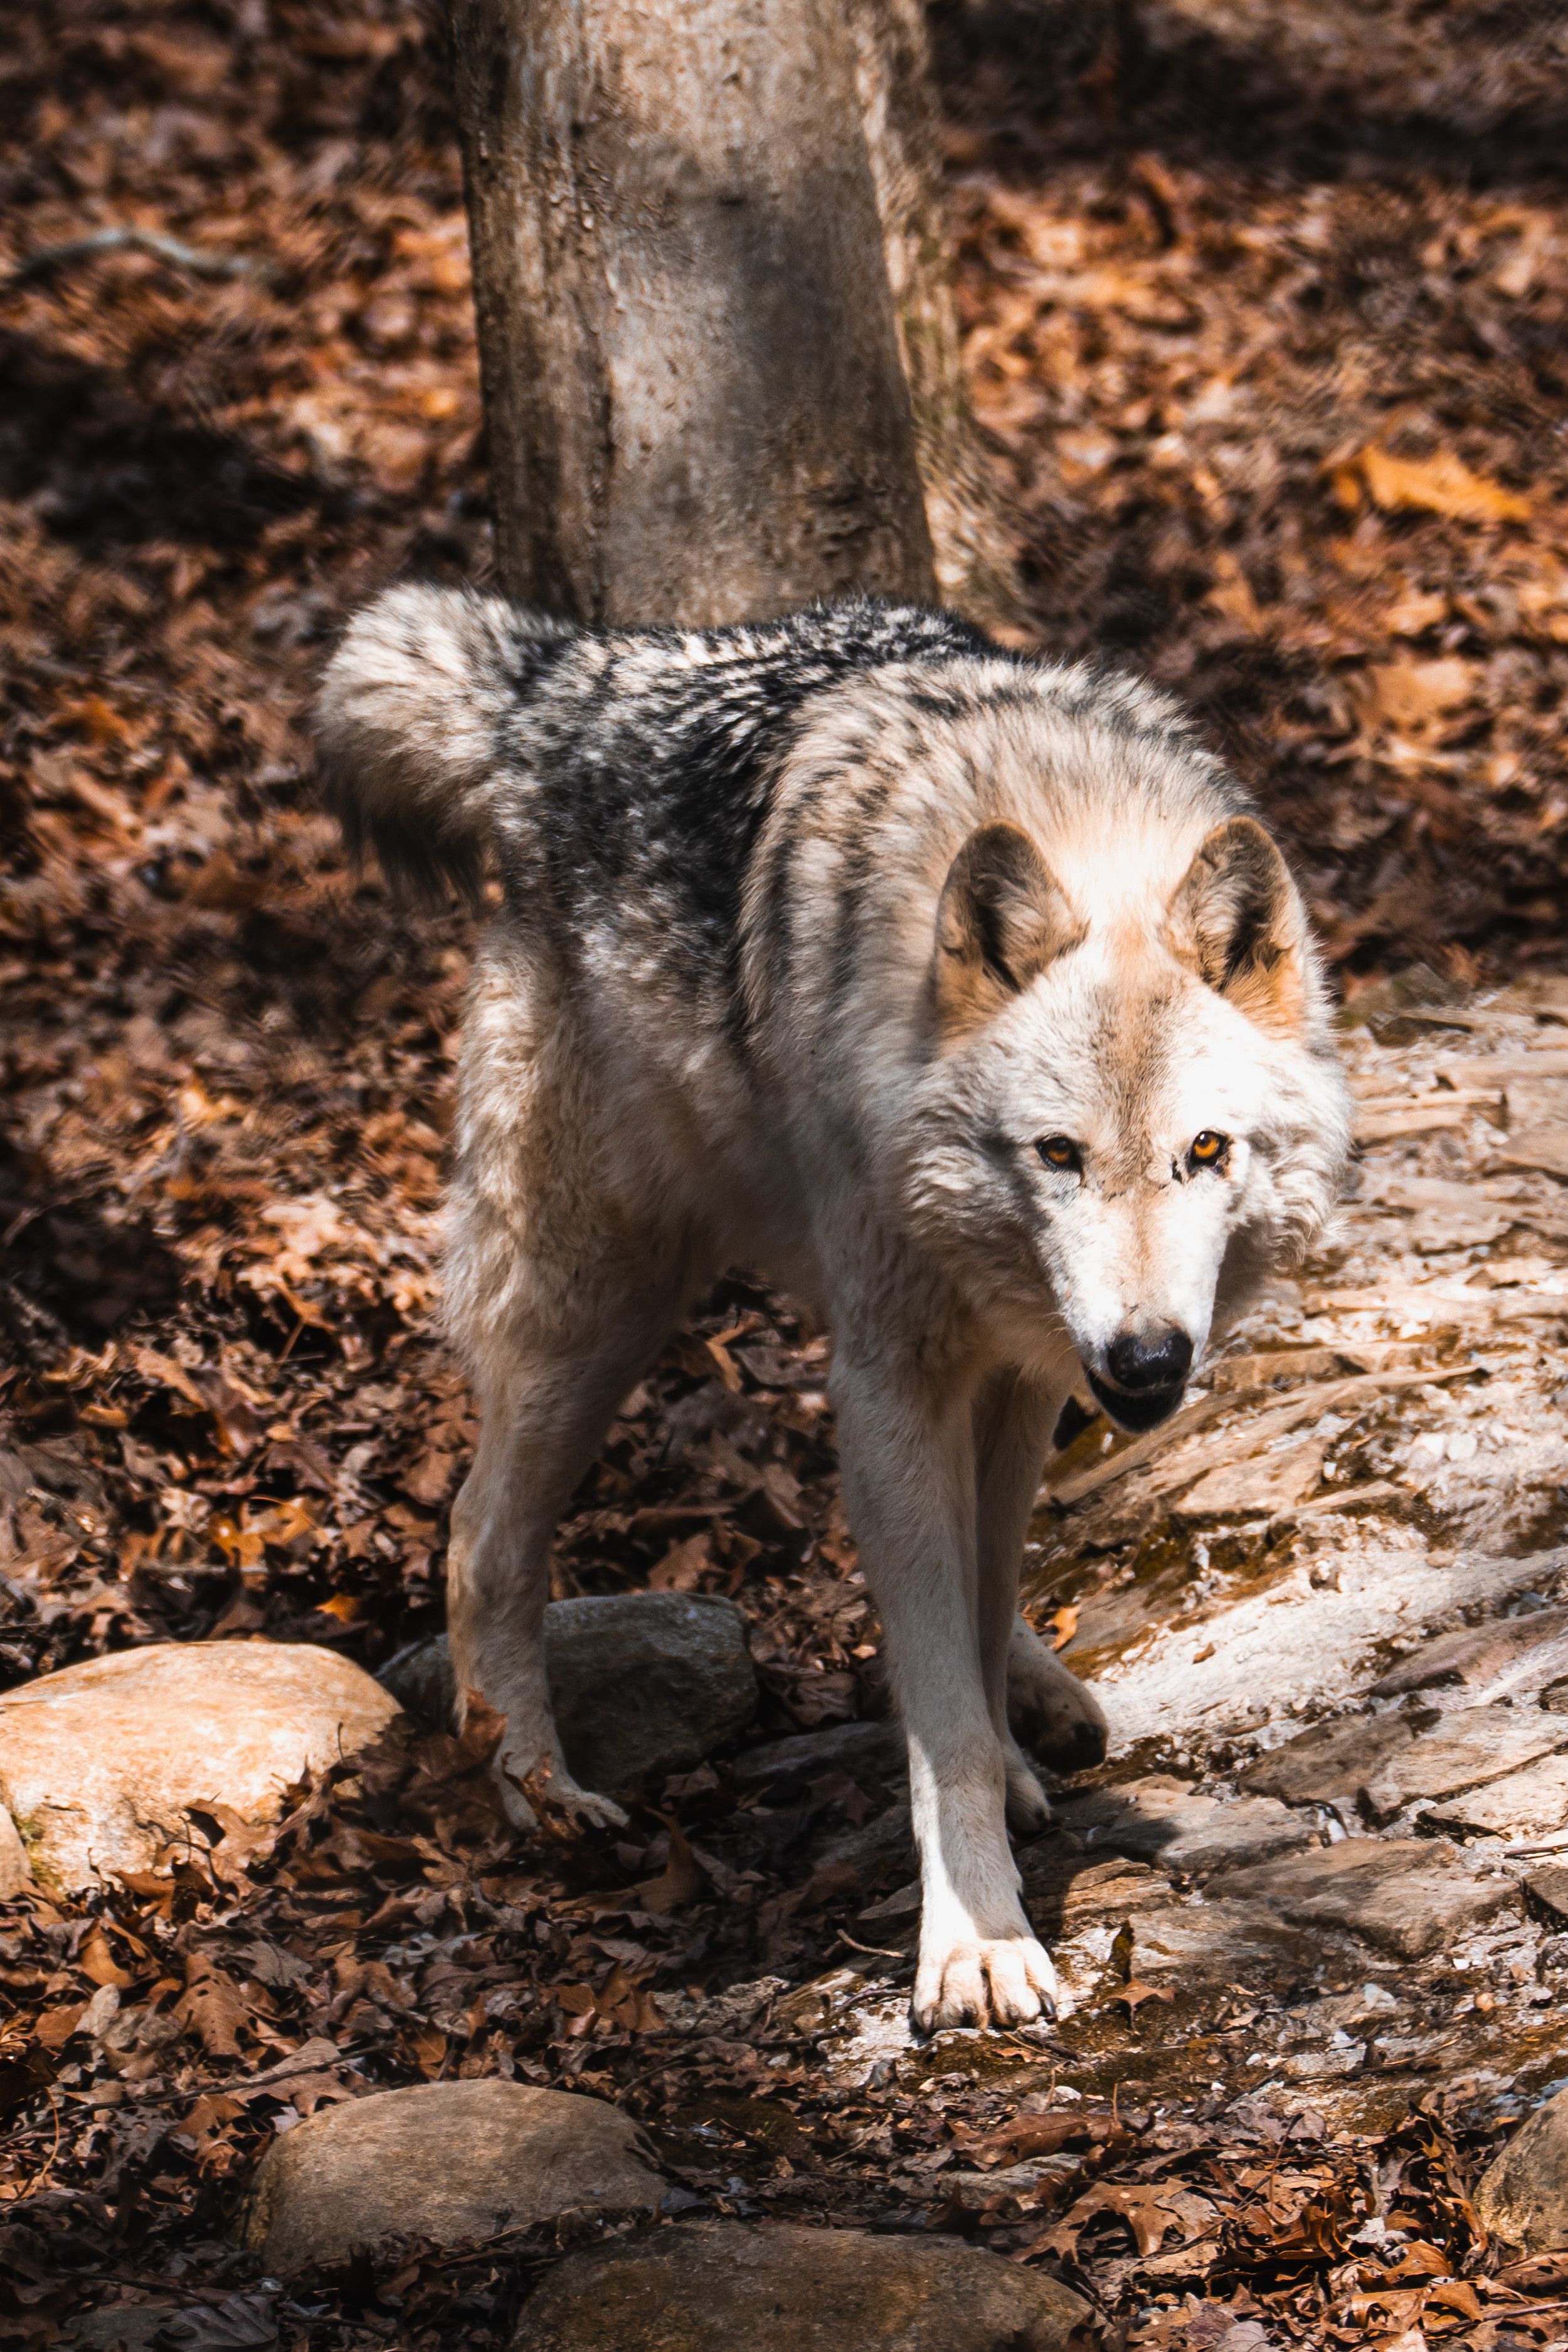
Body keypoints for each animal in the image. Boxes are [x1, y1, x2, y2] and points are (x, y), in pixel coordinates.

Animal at [317, 588, 1350, 2032]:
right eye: (1056, 1156)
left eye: (1204, 1152)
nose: (1145, 1361)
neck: (1069, 820)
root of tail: (575, 683)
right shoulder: (890, 1385)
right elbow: (941, 1712)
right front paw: (977, 1943)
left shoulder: (1024, 1374)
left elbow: (974, 1616)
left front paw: (1003, 1757)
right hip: (601, 1310)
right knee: (478, 1535)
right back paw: (536, 1784)